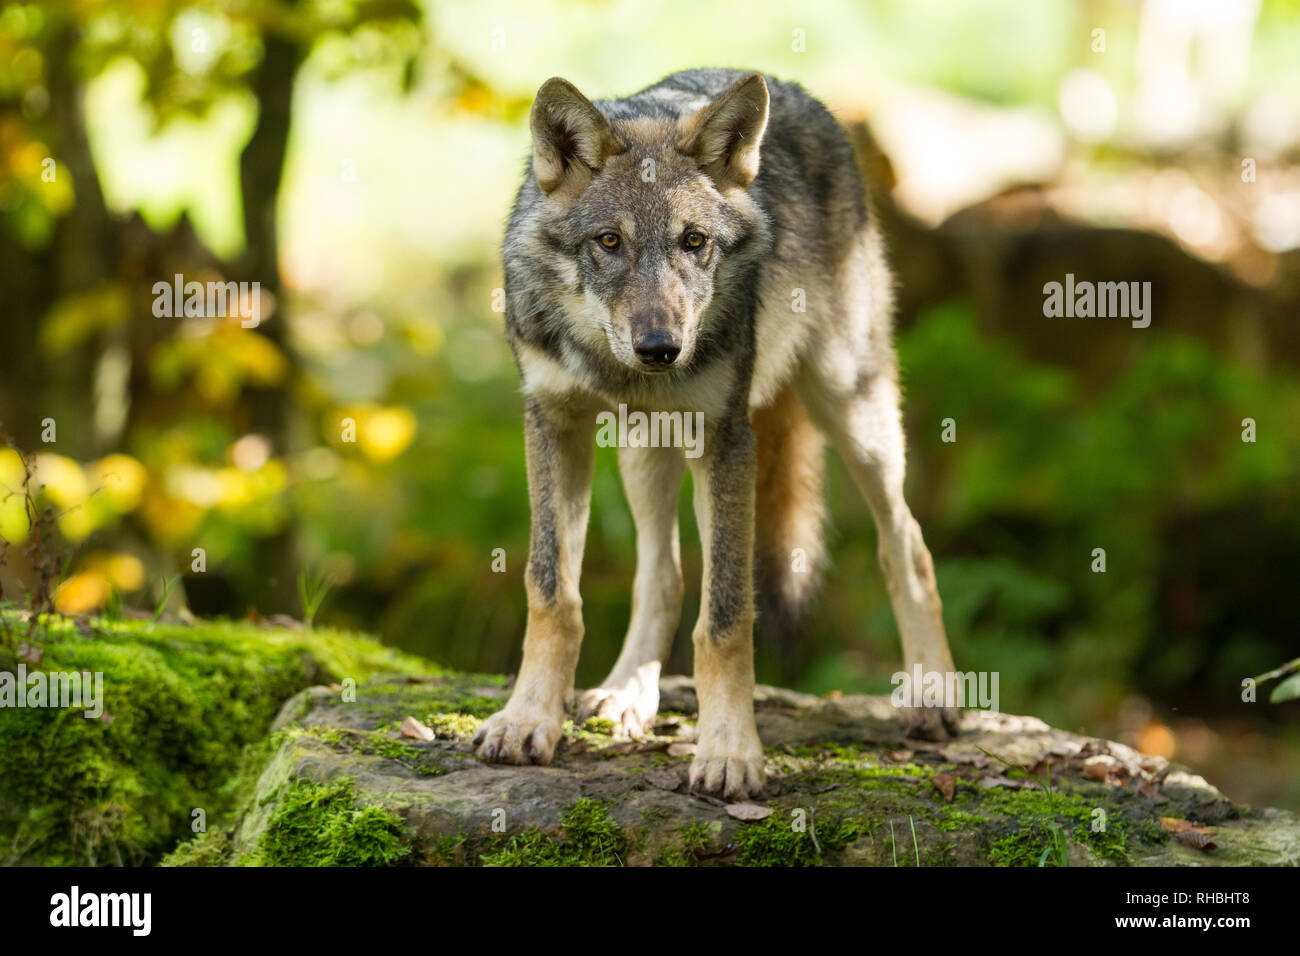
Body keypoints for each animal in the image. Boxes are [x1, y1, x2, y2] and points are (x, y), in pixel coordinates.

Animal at [476, 68, 958, 799]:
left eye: (694, 241)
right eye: (609, 241)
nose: (660, 348)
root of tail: (797, 90)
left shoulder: (726, 438)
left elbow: (726, 619)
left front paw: (730, 750)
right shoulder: (553, 422)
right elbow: (553, 592)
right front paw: (529, 719)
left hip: (851, 407)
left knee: (908, 542)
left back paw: (934, 695)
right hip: (645, 447)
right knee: (664, 573)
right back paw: (628, 693)